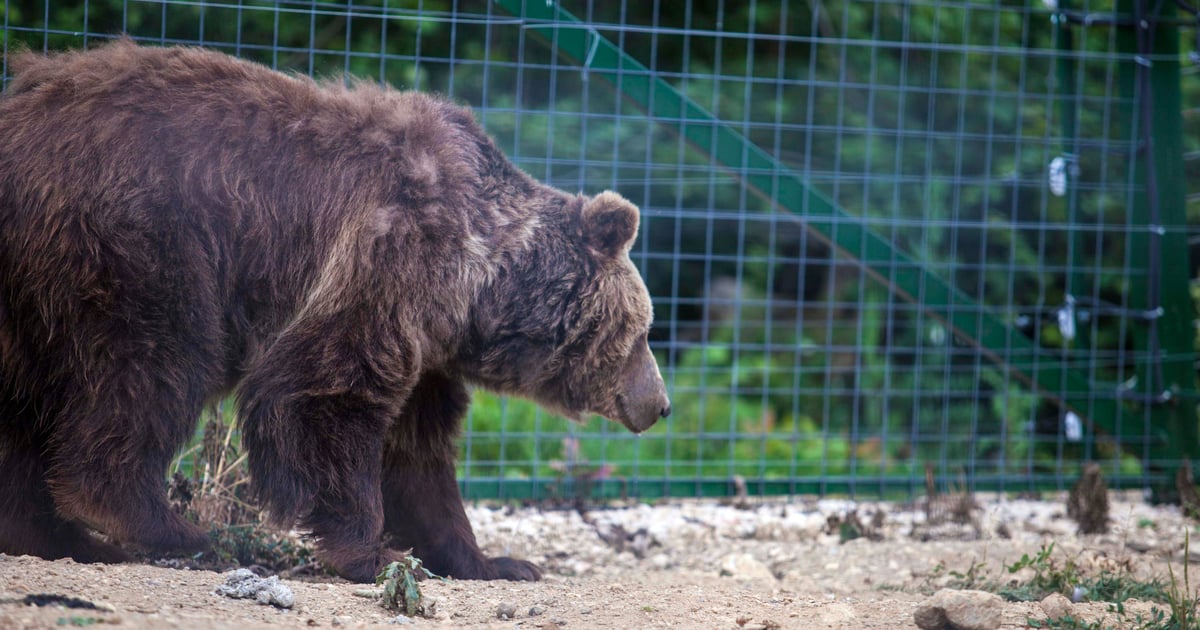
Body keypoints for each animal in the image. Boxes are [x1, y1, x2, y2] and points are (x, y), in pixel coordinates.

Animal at [0, 39, 671, 583]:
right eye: (644, 331)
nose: (660, 403)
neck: (479, 285)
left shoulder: (428, 344)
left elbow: (418, 456)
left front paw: (492, 560)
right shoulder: (393, 251)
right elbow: (322, 392)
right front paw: (373, 553)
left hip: (32, 292)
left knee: (29, 405)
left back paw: (58, 534)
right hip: (136, 234)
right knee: (153, 360)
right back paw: (154, 523)